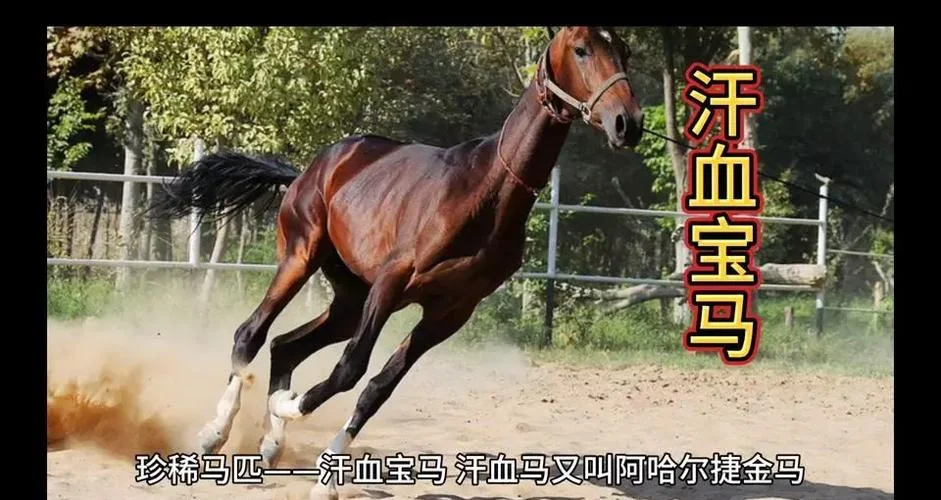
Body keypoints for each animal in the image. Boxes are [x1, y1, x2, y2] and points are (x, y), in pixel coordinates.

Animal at [150, 26, 644, 499]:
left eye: (624, 51)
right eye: (581, 49)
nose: (628, 123)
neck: (486, 193)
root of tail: (310, 169)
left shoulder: (448, 313)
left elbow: (377, 388)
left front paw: (322, 471)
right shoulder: (393, 284)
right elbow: (350, 369)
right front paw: (287, 409)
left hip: (349, 299)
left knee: (286, 345)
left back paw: (272, 441)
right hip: (301, 257)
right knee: (251, 334)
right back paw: (215, 433)